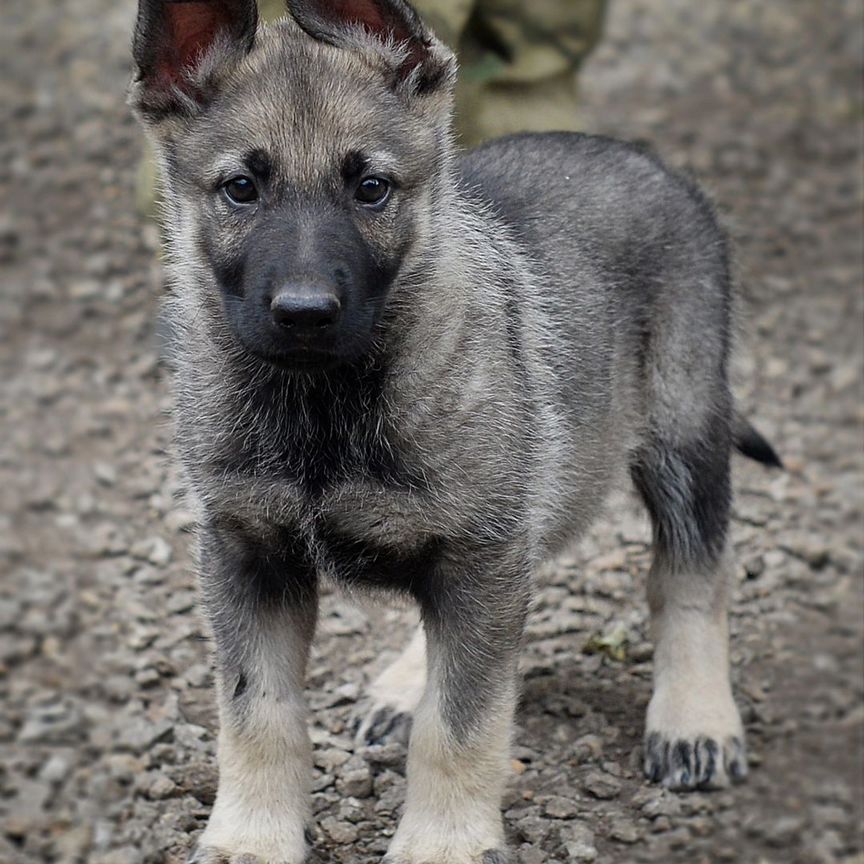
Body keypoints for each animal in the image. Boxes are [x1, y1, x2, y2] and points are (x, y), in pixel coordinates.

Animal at [130, 1, 784, 864]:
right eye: (240, 189)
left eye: (371, 188)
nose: (304, 314)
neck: (323, 401)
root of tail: (640, 158)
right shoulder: (248, 551)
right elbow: (256, 714)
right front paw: (251, 837)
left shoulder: (481, 549)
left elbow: (461, 723)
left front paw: (442, 841)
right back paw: (406, 684)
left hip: (681, 430)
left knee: (690, 574)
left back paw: (695, 718)